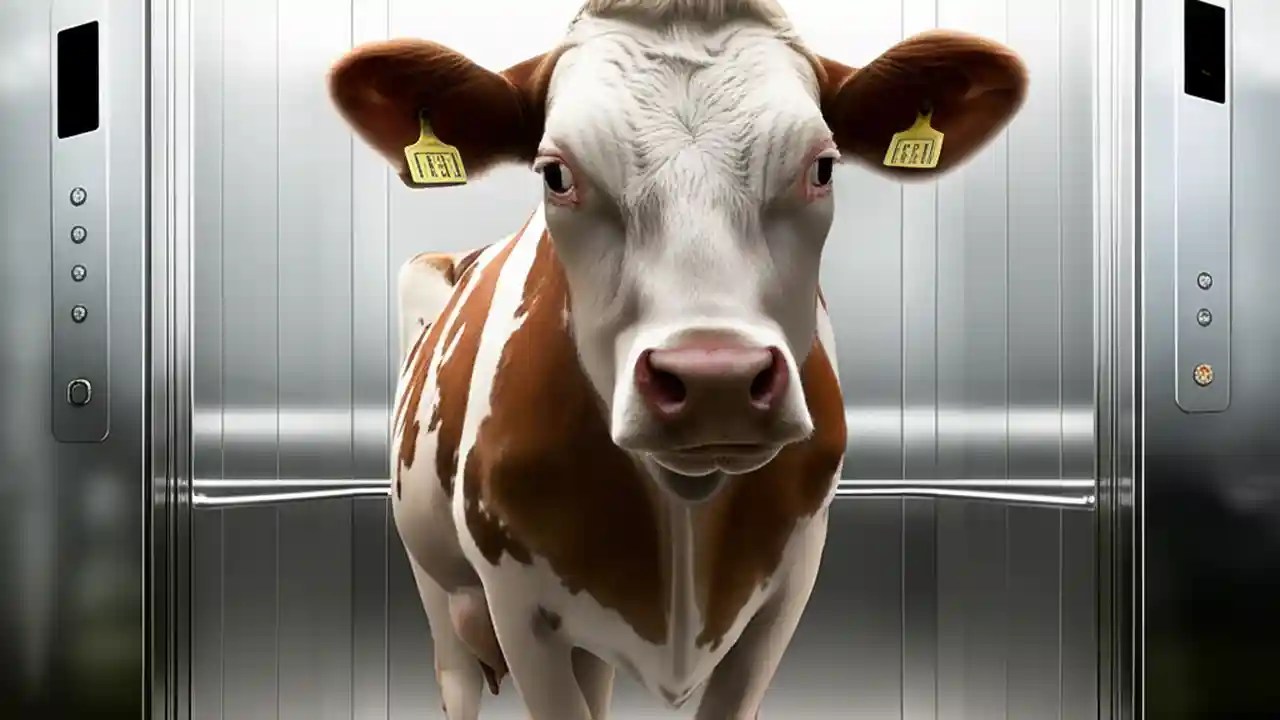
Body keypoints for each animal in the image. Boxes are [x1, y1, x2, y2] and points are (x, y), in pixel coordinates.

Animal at [328, 1, 1026, 717]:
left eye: (823, 167)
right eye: (556, 174)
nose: (715, 379)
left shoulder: (786, 594)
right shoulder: (517, 610)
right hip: (437, 589)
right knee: (457, 676)